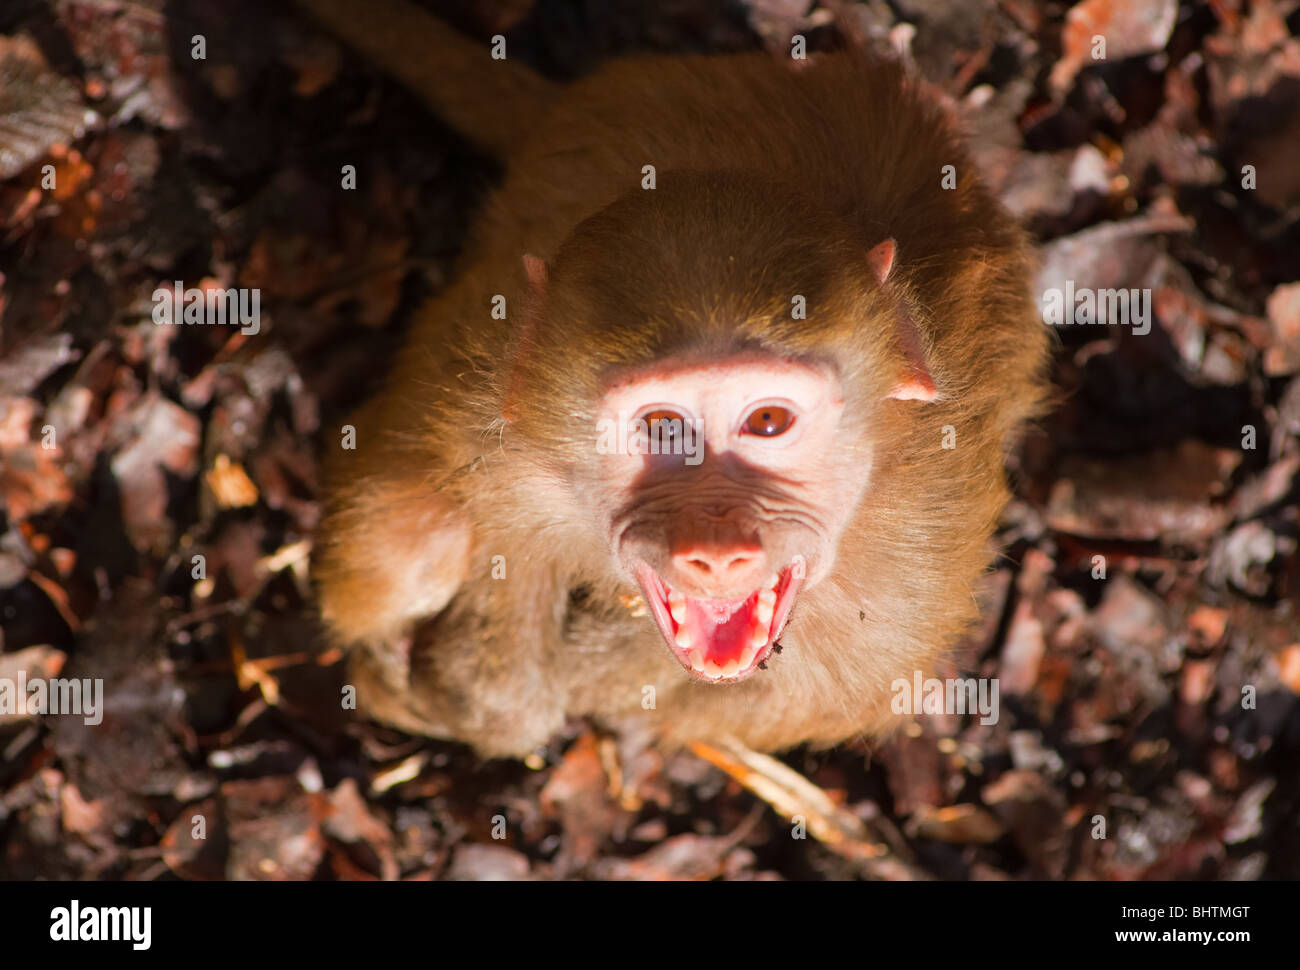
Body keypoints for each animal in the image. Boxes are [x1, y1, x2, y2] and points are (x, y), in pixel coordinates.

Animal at [299, 0, 1051, 758]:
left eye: (768, 423)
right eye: (664, 428)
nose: (715, 554)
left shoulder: (914, 562)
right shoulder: (502, 439)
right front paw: (479, 696)